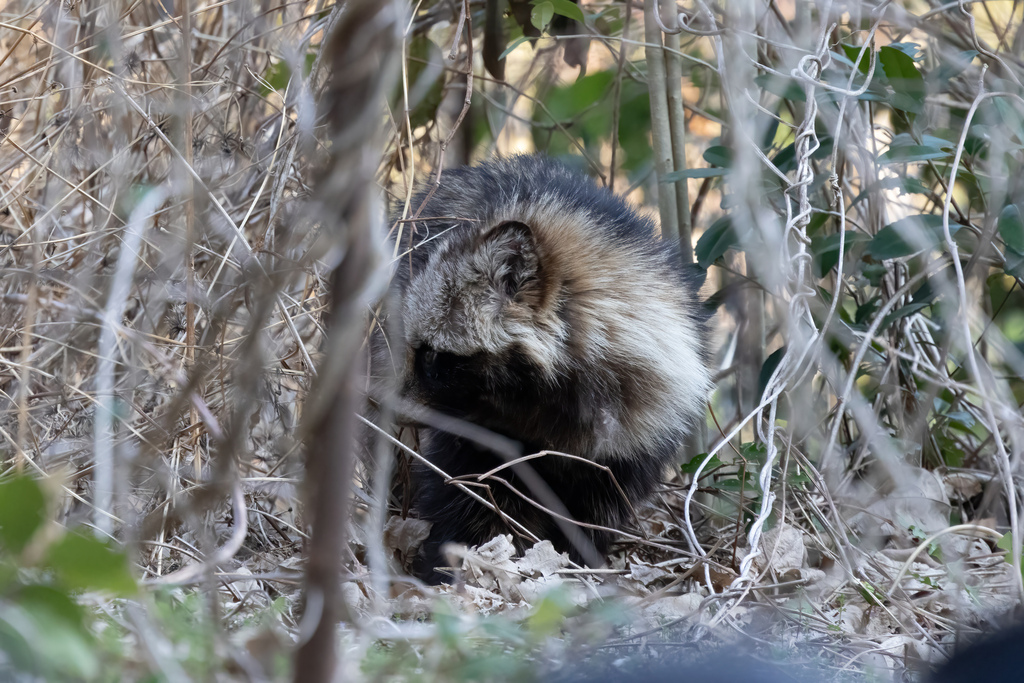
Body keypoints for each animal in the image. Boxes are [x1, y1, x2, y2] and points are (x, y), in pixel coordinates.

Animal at [375, 156, 712, 582]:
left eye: (434, 358)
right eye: (415, 349)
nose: (378, 401)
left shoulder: (629, 442)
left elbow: (591, 519)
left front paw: (579, 566)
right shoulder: (479, 437)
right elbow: (469, 500)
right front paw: (457, 565)